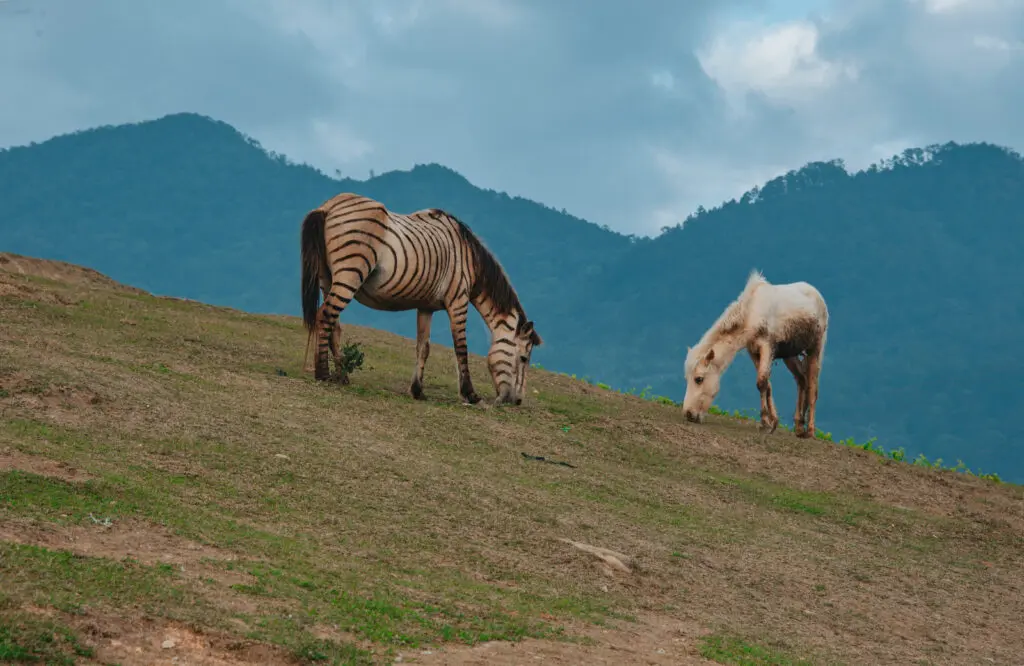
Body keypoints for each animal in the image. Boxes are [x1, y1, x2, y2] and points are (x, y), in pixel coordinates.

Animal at [300, 192, 543, 406]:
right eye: (524, 358)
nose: (517, 402)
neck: (469, 259)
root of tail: (329, 206)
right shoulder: (458, 301)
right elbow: (461, 348)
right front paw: (470, 394)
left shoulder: (426, 307)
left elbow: (423, 347)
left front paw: (417, 390)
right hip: (350, 272)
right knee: (325, 316)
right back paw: (323, 373)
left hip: (327, 278)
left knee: (334, 324)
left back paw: (341, 376)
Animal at [681, 269, 828, 438]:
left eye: (699, 379)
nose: (688, 414)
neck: (751, 315)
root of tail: (816, 294)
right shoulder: (753, 351)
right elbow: (767, 385)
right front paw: (770, 422)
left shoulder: (767, 347)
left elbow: (761, 382)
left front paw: (767, 423)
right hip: (790, 355)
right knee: (801, 380)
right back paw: (798, 427)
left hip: (815, 349)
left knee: (812, 387)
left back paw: (810, 431)